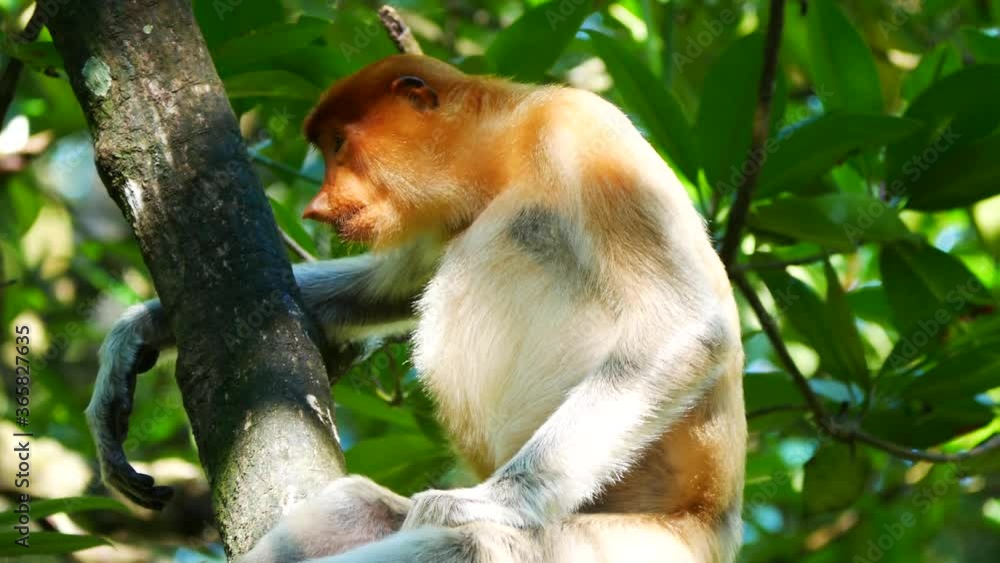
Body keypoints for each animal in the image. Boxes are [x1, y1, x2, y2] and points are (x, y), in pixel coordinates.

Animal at [88, 54, 746, 563]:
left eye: (339, 146)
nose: (318, 208)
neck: (505, 147)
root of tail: (715, 523)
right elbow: (392, 284)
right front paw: (136, 335)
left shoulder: (582, 133)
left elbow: (684, 322)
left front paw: (491, 502)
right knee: (350, 508)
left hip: (637, 542)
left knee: (471, 547)